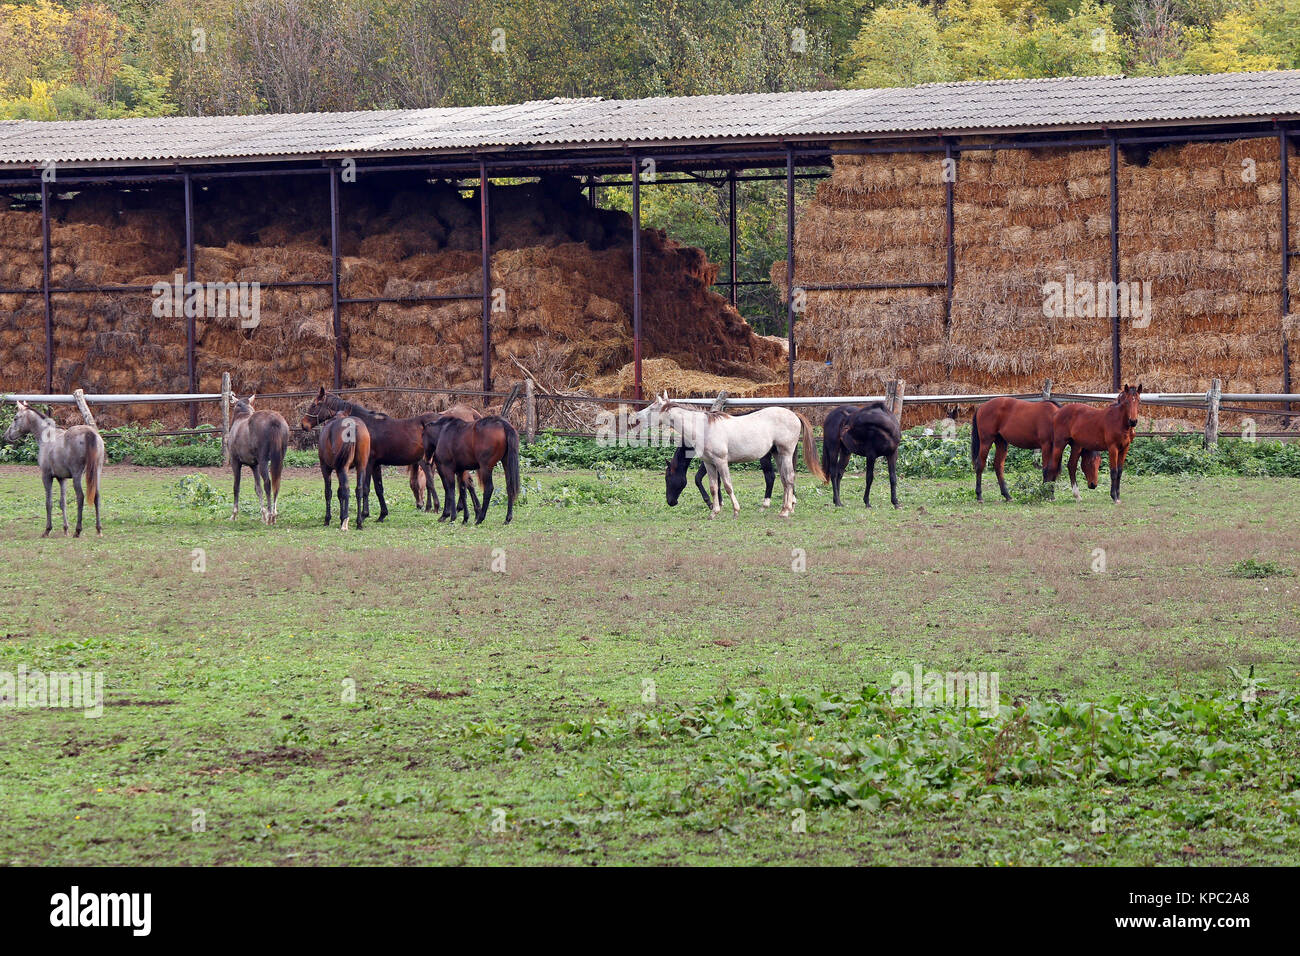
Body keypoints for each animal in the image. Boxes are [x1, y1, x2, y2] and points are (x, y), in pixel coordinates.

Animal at [3, 401, 105, 537]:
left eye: (15, 418)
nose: (6, 436)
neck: (47, 438)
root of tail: (90, 433)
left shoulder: (46, 476)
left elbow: (49, 503)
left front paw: (47, 529)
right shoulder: (62, 479)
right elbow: (63, 503)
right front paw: (65, 529)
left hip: (77, 476)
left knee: (80, 497)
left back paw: (78, 530)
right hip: (96, 472)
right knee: (96, 497)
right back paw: (98, 529)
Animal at [227, 394, 290, 524]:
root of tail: (275, 421)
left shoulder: (235, 462)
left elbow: (236, 487)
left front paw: (234, 514)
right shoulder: (254, 465)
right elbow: (258, 488)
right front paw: (263, 514)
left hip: (263, 461)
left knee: (268, 483)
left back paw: (271, 515)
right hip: (278, 460)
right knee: (276, 484)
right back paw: (273, 515)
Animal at [303, 388, 439, 521]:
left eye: (314, 405)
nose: (303, 424)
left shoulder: (368, 463)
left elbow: (365, 488)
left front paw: (364, 514)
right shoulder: (376, 465)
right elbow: (379, 489)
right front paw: (382, 514)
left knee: (431, 482)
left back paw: (435, 507)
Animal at [630, 394, 826, 518]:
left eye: (652, 408)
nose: (636, 415)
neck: (704, 427)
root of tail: (794, 413)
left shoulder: (721, 461)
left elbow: (727, 485)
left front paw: (735, 510)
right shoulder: (709, 463)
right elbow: (713, 487)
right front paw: (714, 512)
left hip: (785, 453)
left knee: (789, 478)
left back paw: (785, 511)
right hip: (777, 454)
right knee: (785, 480)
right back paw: (787, 508)